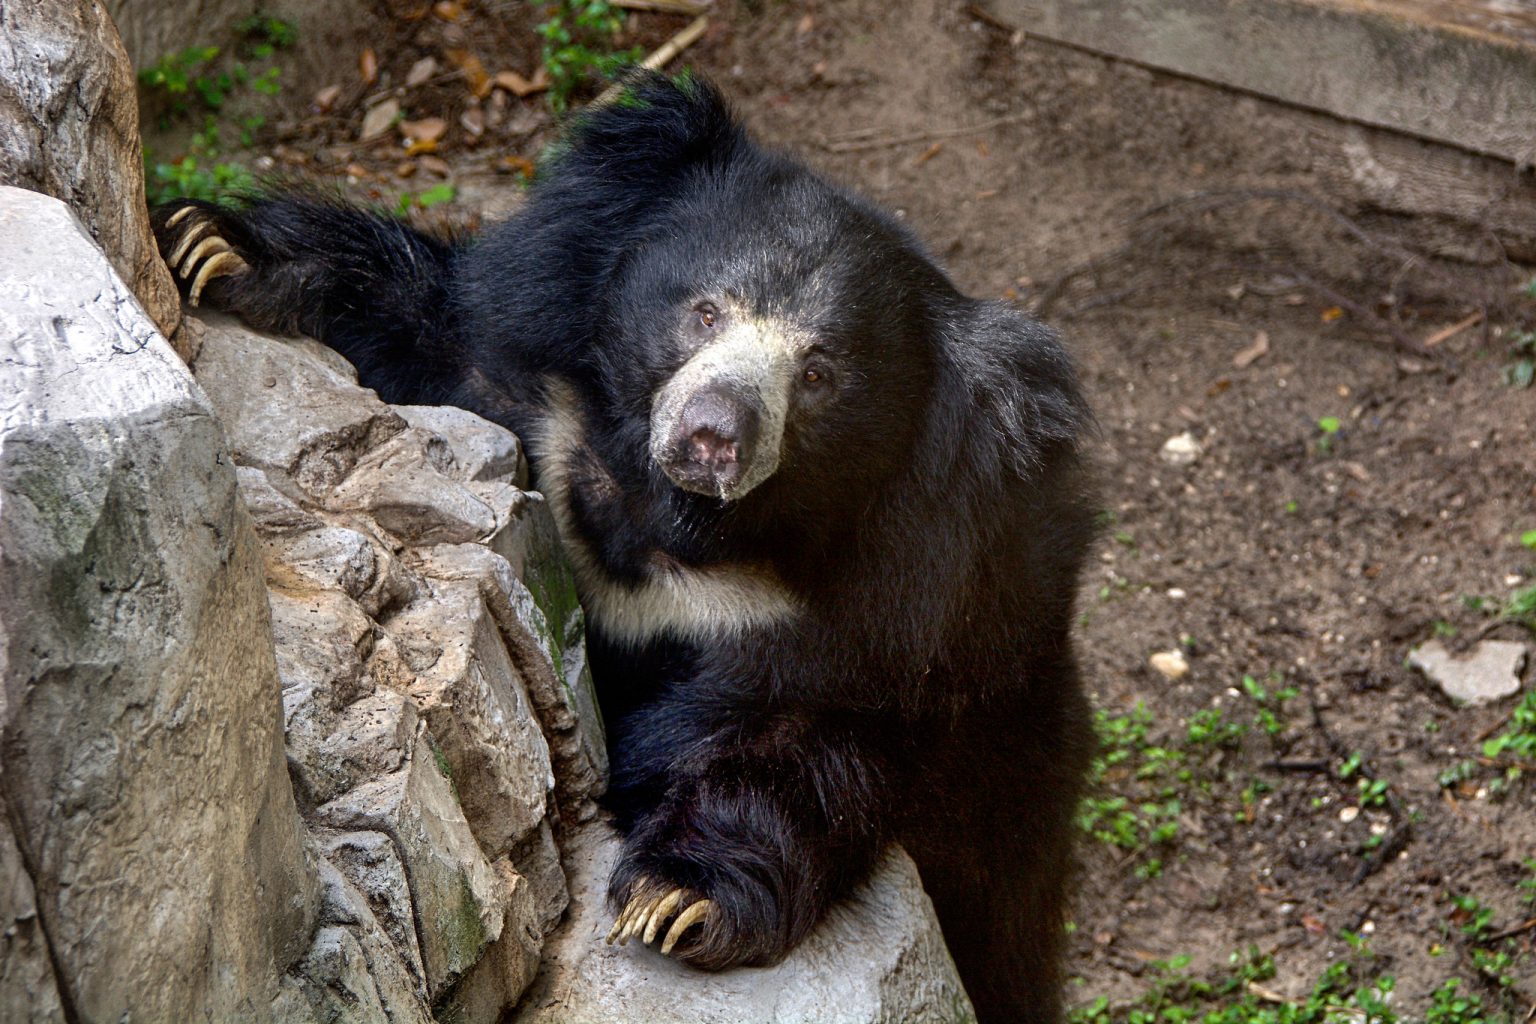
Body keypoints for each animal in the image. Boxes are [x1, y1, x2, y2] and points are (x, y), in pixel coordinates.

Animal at [152, 73, 1098, 1024]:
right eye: (705, 311)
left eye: (819, 373)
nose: (713, 434)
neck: (675, 521)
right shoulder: (543, 402)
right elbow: (441, 340)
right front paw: (213, 244)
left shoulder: (920, 598)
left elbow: (811, 739)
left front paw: (678, 897)